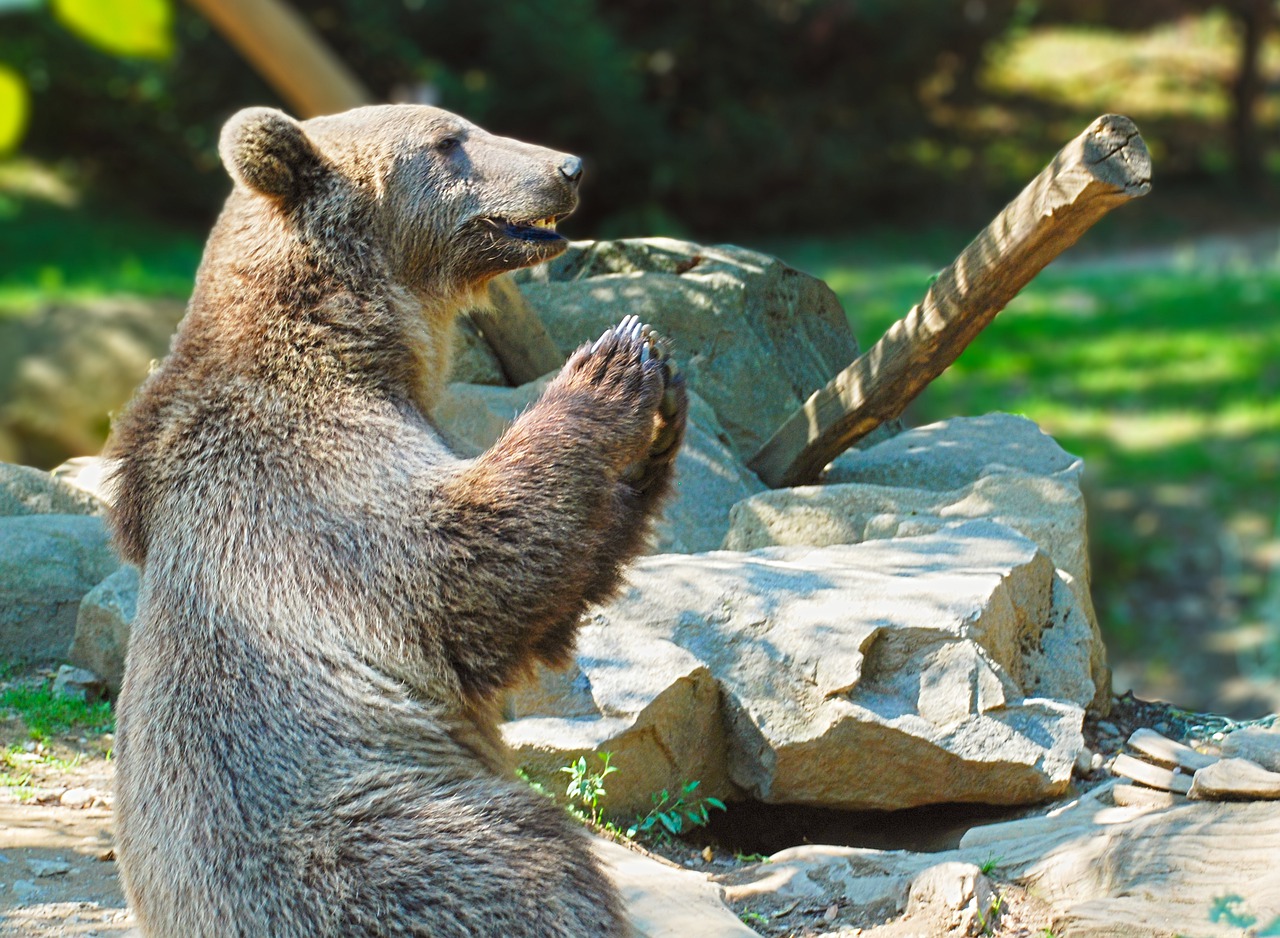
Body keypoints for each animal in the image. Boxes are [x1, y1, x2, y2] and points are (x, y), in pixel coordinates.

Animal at [104, 104, 688, 937]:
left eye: (464, 127)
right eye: (450, 142)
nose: (569, 167)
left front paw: (661, 392)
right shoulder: (309, 489)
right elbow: (468, 568)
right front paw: (609, 366)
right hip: (375, 836)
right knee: (523, 862)